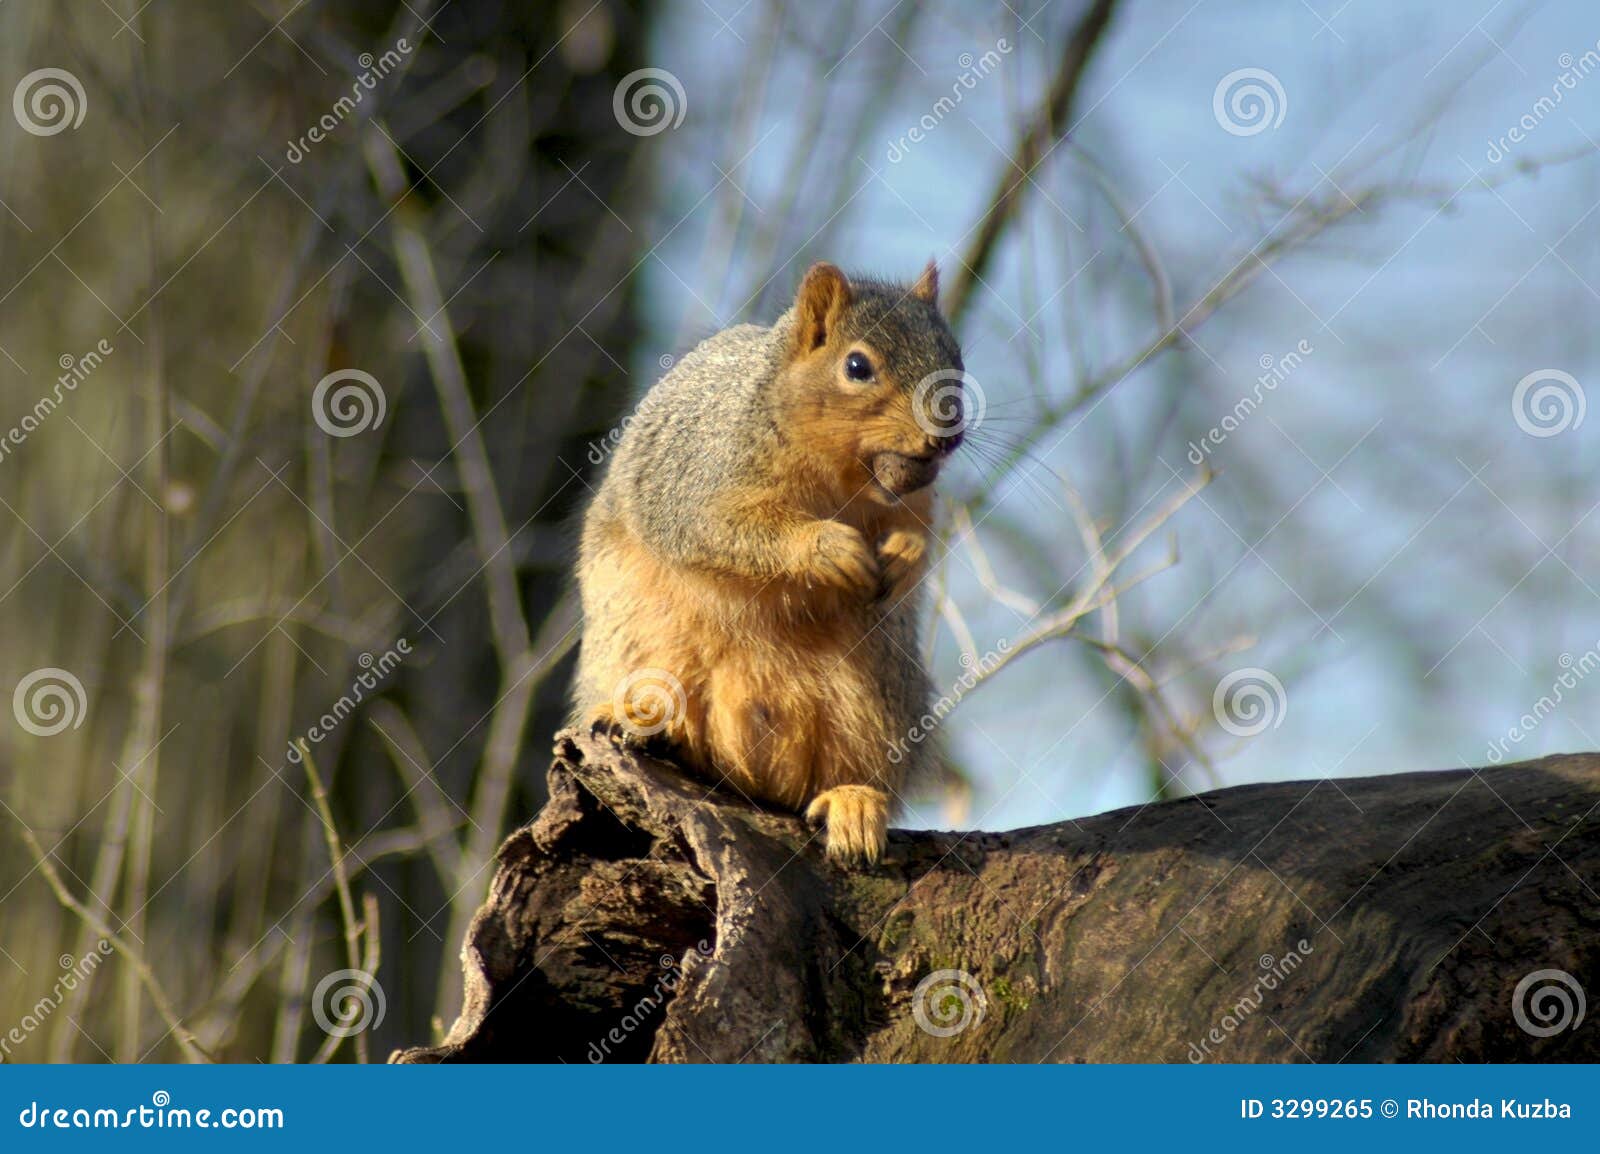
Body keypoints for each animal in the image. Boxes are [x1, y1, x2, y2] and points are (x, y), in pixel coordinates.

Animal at [572, 260, 965, 865]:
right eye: (857, 366)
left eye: (956, 355)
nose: (948, 433)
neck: (840, 472)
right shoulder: (698, 478)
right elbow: (721, 529)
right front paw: (827, 547)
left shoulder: (916, 500)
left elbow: (920, 537)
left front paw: (902, 556)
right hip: (632, 645)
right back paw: (636, 717)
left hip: (878, 695)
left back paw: (853, 802)